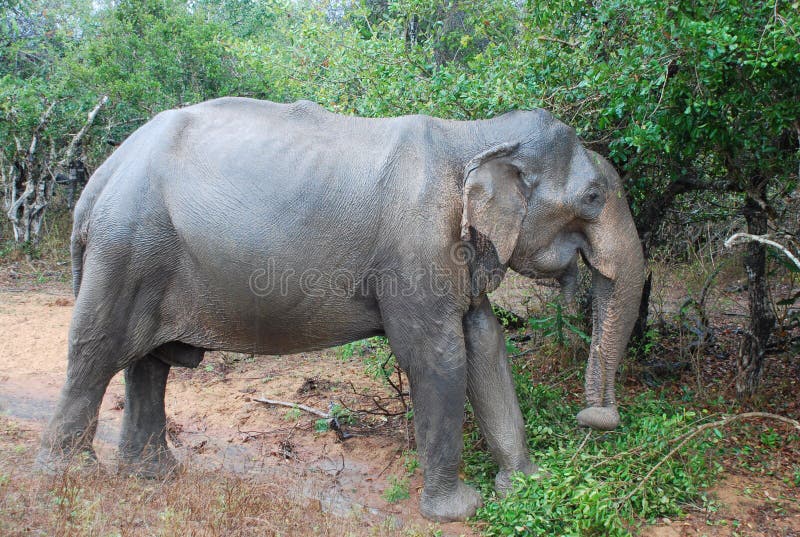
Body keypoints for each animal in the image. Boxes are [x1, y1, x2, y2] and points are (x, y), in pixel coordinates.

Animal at [36, 97, 644, 522]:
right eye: (593, 198)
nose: (597, 419)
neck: (474, 134)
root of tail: (101, 176)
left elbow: (487, 345)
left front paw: (525, 486)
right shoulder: (416, 248)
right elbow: (440, 357)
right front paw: (459, 511)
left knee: (150, 365)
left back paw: (153, 477)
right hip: (127, 250)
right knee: (95, 354)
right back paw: (70, 482)